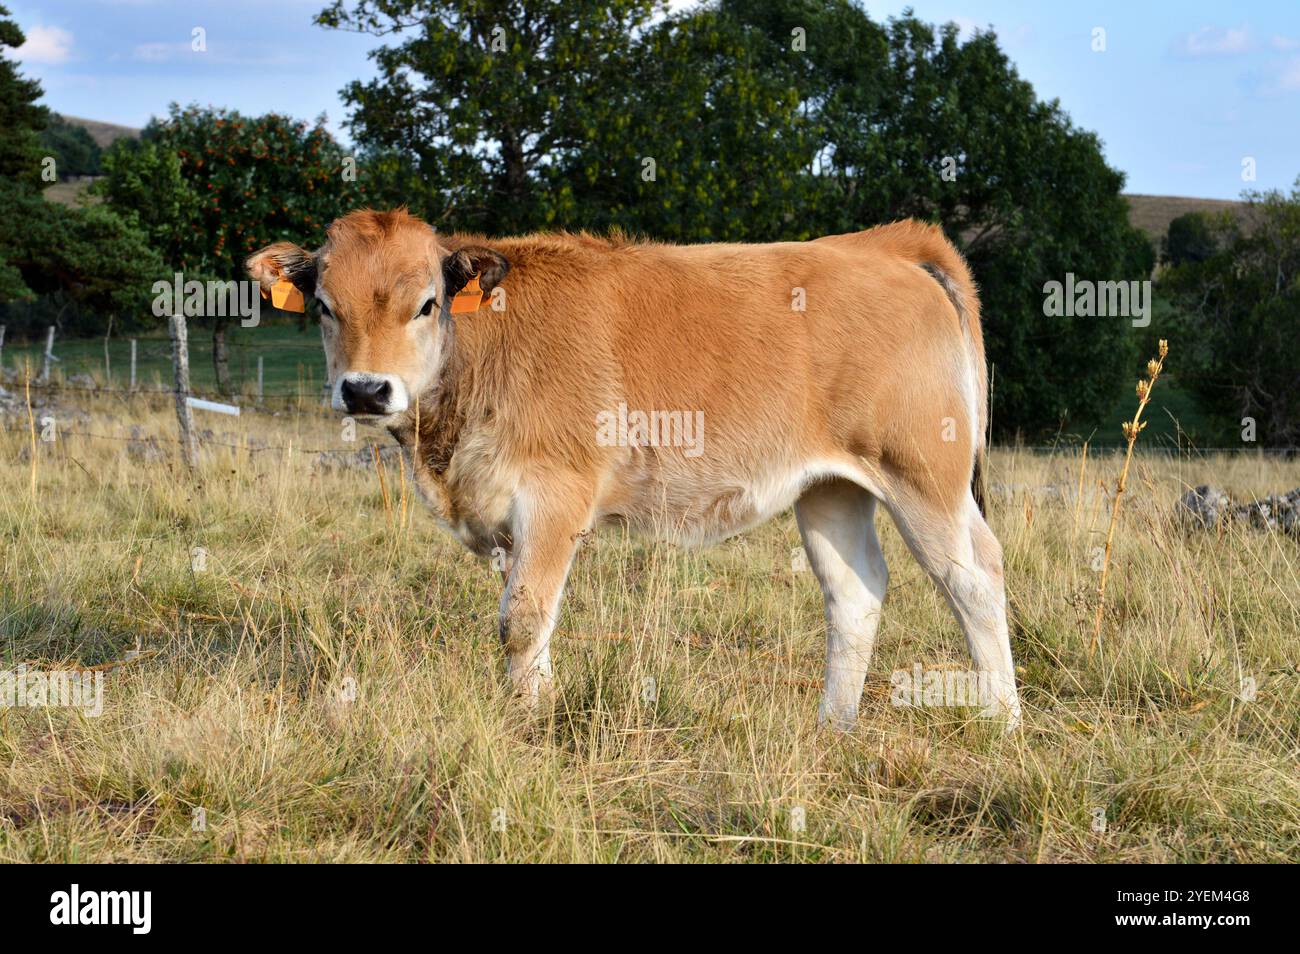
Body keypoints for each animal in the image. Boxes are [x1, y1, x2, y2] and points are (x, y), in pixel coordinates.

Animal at [247, 209, 1020, 730]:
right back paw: (835, 725)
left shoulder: (554, 494)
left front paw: (529, 724)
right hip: (832, 486)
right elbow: (525, 616)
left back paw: (1002, 722)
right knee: (855, 592)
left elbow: (524, 618)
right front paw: (536, 706)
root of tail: (879, 244)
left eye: (427, 304)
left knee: (975, 578)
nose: (365, 390)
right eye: (324, 307)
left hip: (924, 475)